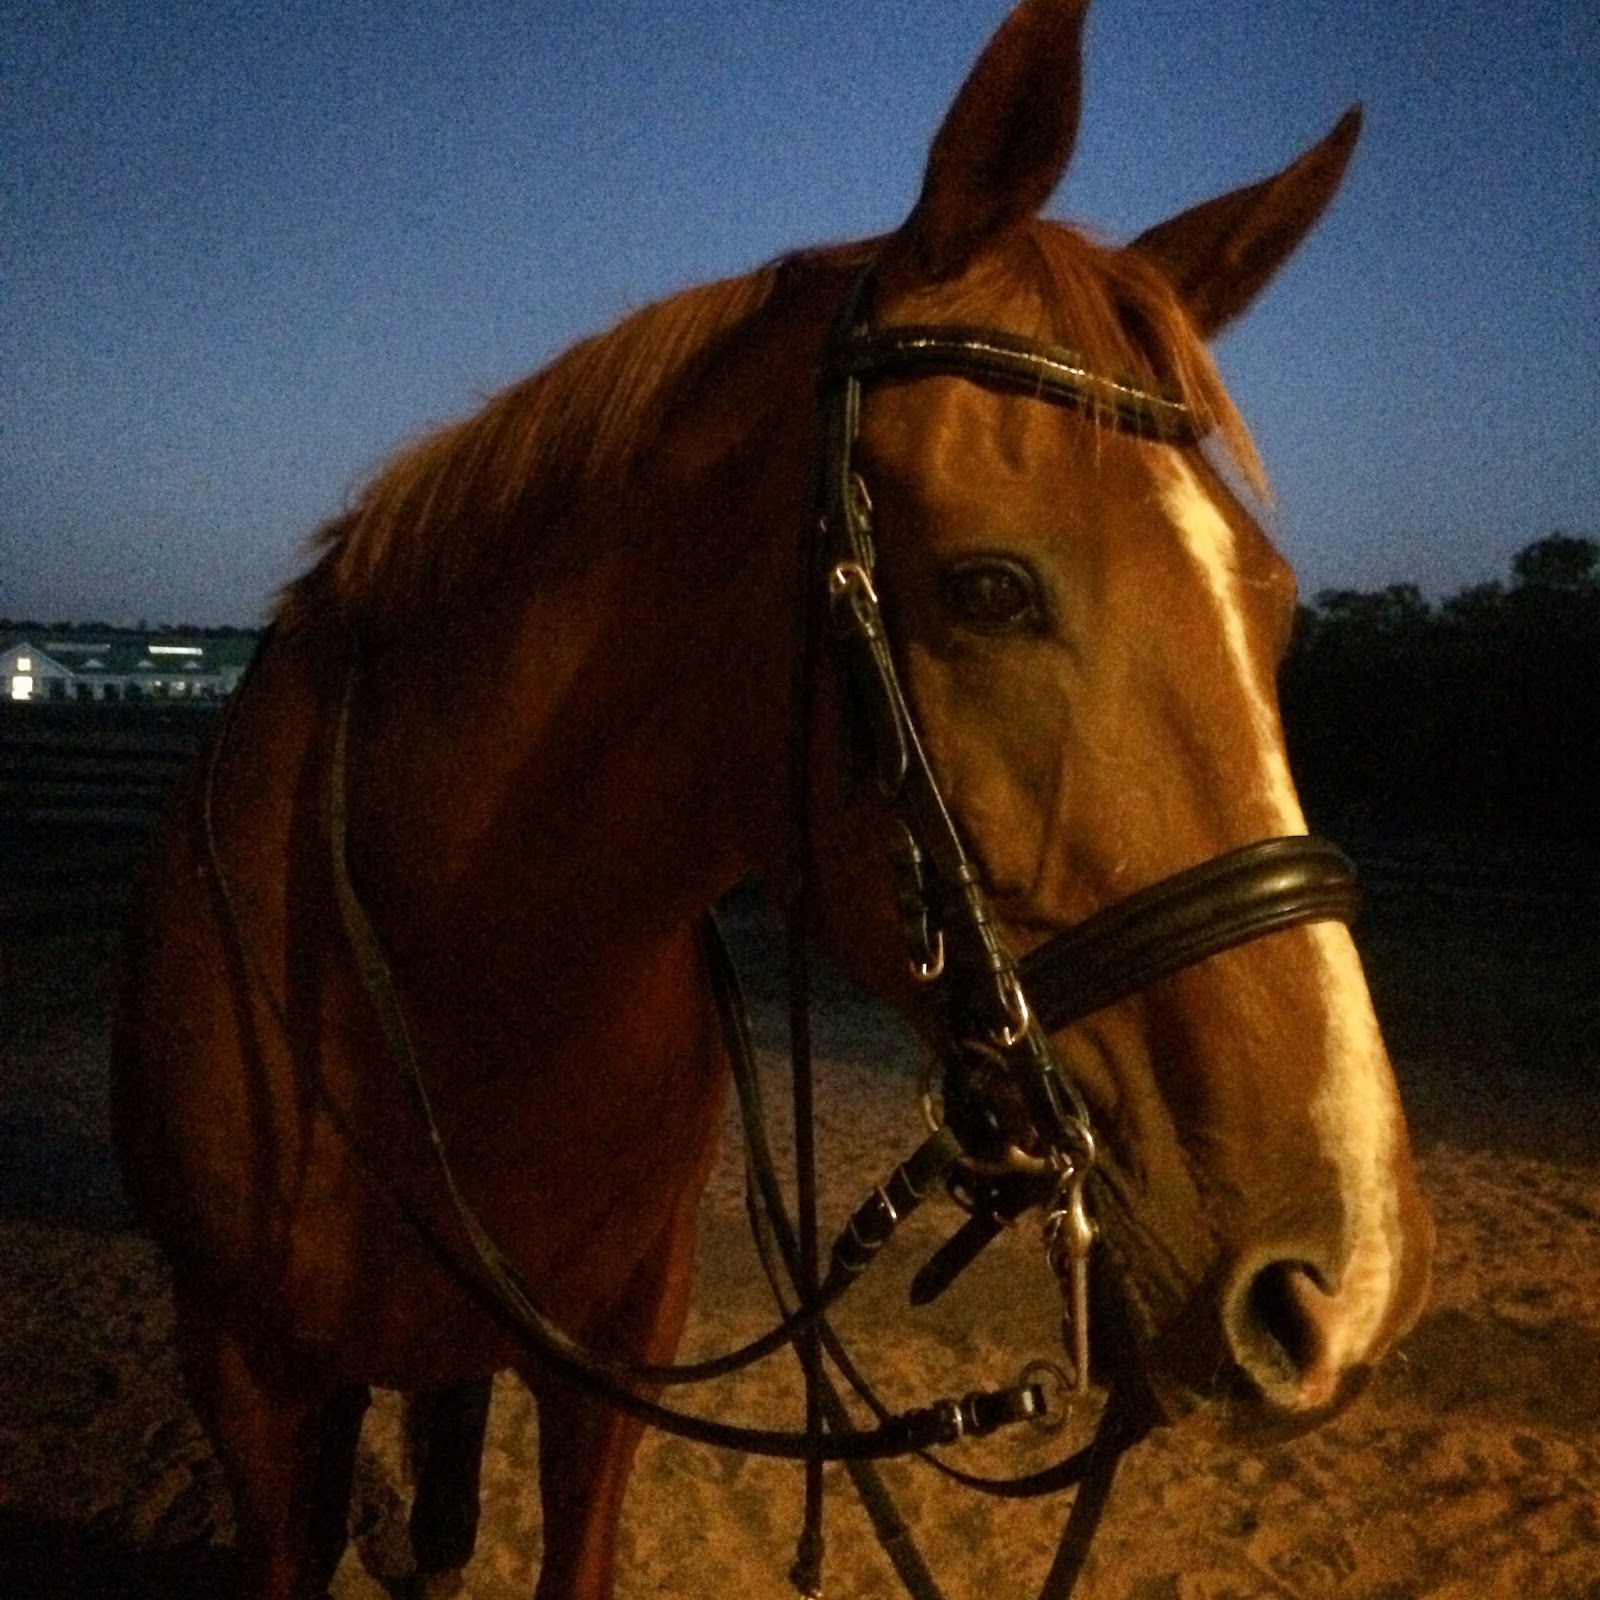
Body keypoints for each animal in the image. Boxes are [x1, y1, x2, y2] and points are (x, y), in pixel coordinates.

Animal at [111, 2, 1433, 1596]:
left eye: (1274, 601)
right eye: (988, 589)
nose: (1348, 1284)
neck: (441, 983)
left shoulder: (612, 1367)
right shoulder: (249, 1386)